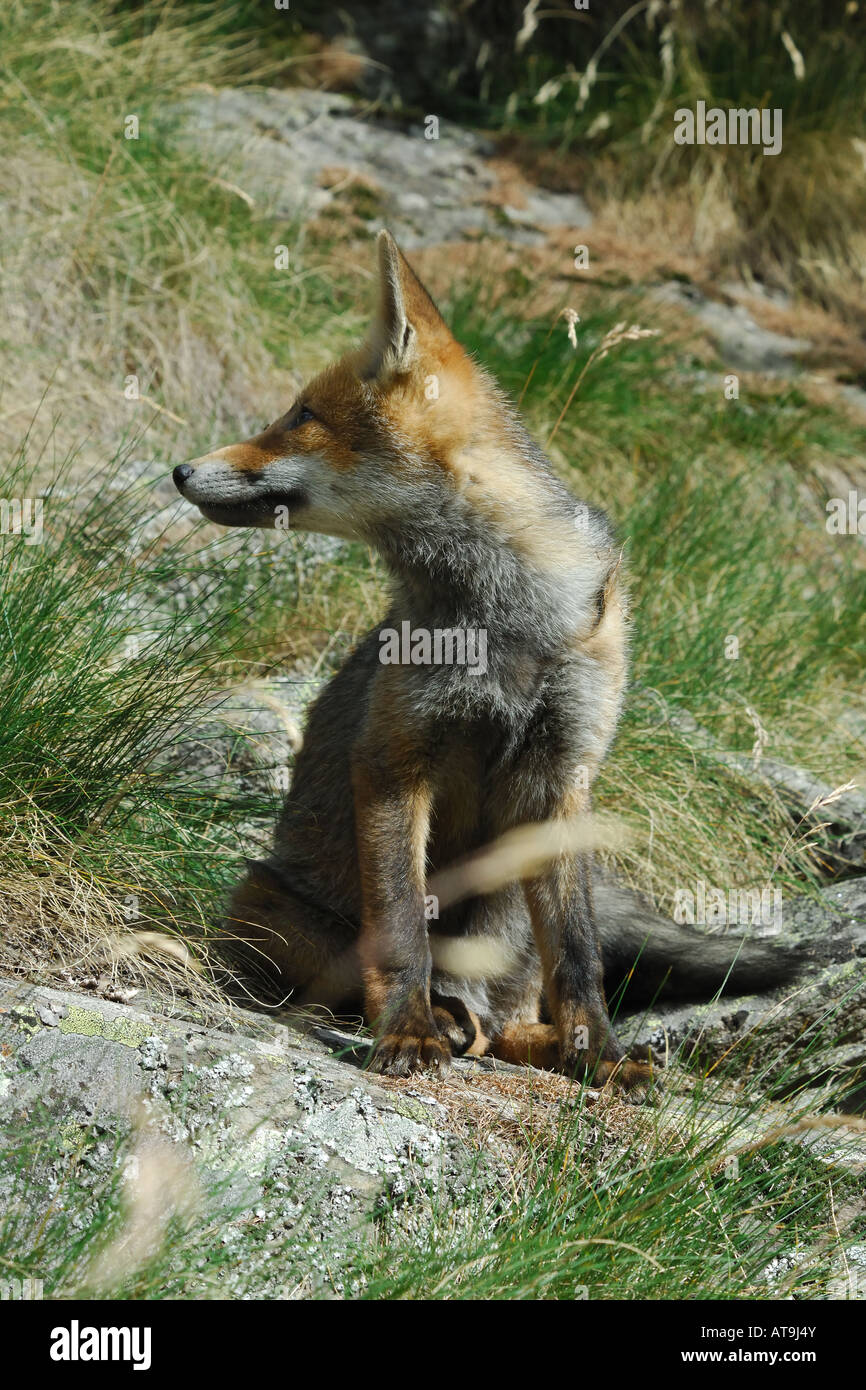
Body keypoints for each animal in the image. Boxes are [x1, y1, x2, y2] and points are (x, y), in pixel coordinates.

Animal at [173, 229, 799, 1095]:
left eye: (301, 416)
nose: (179, 470)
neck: (506, 623)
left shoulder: (560, 775)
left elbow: (580, 961)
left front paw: (602, 1054)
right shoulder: (396, 760)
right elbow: (402, 927)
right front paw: (405, 1032)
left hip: (508, 923)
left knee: (506, 1020)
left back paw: (542, 1043)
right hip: (271, 901)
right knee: (395, 993)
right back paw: (424, 1018)